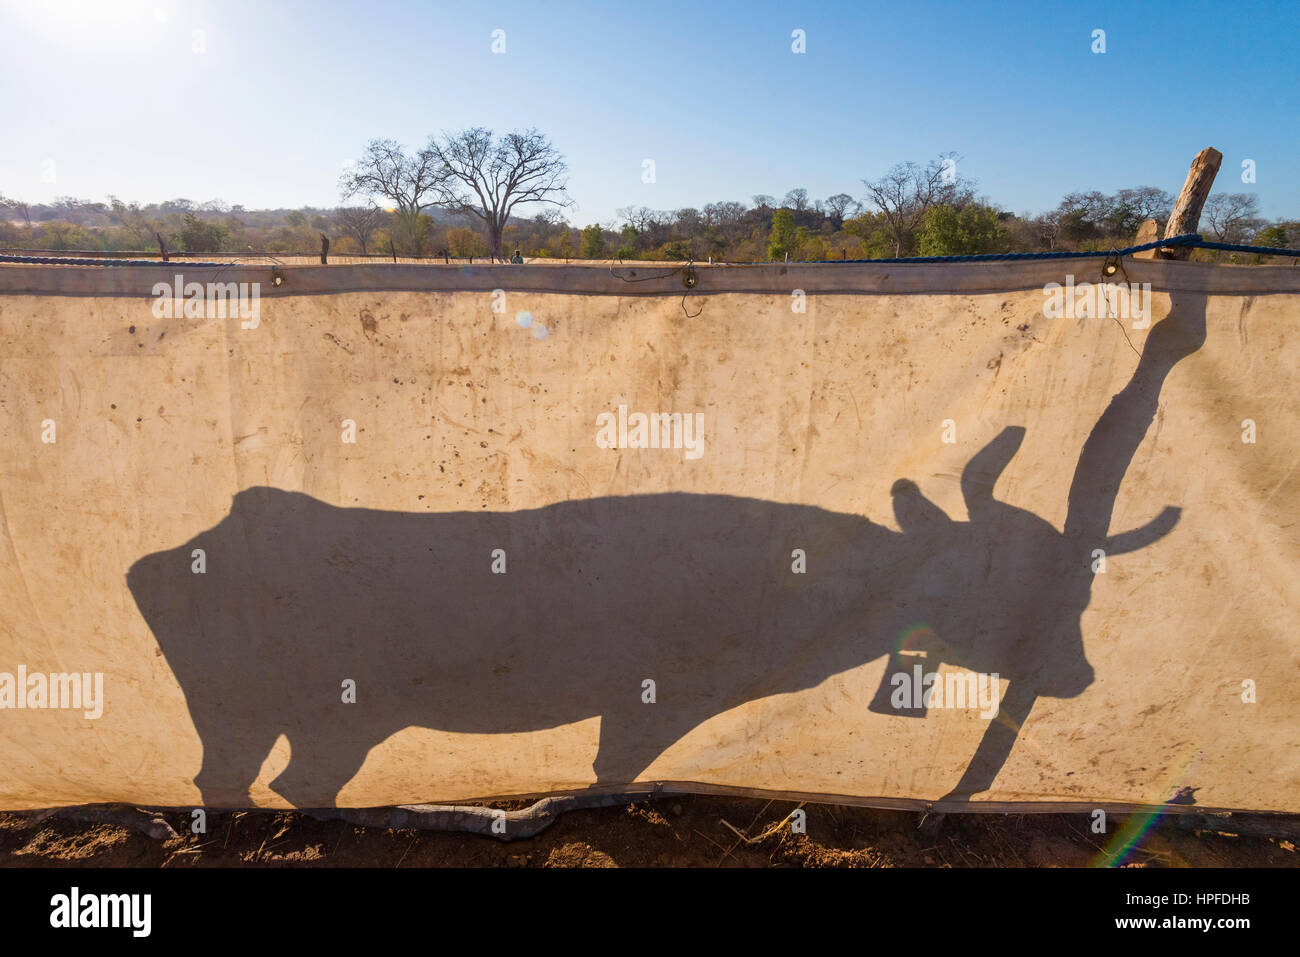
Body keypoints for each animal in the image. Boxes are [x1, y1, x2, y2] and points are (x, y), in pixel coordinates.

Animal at [126, 291, 1207, 809]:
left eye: (1077, 583)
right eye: (984, 578)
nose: (1074, 671)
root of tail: (157, 558)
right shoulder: (652, 692)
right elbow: (611, 775)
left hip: (297, 718)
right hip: (260, 710)